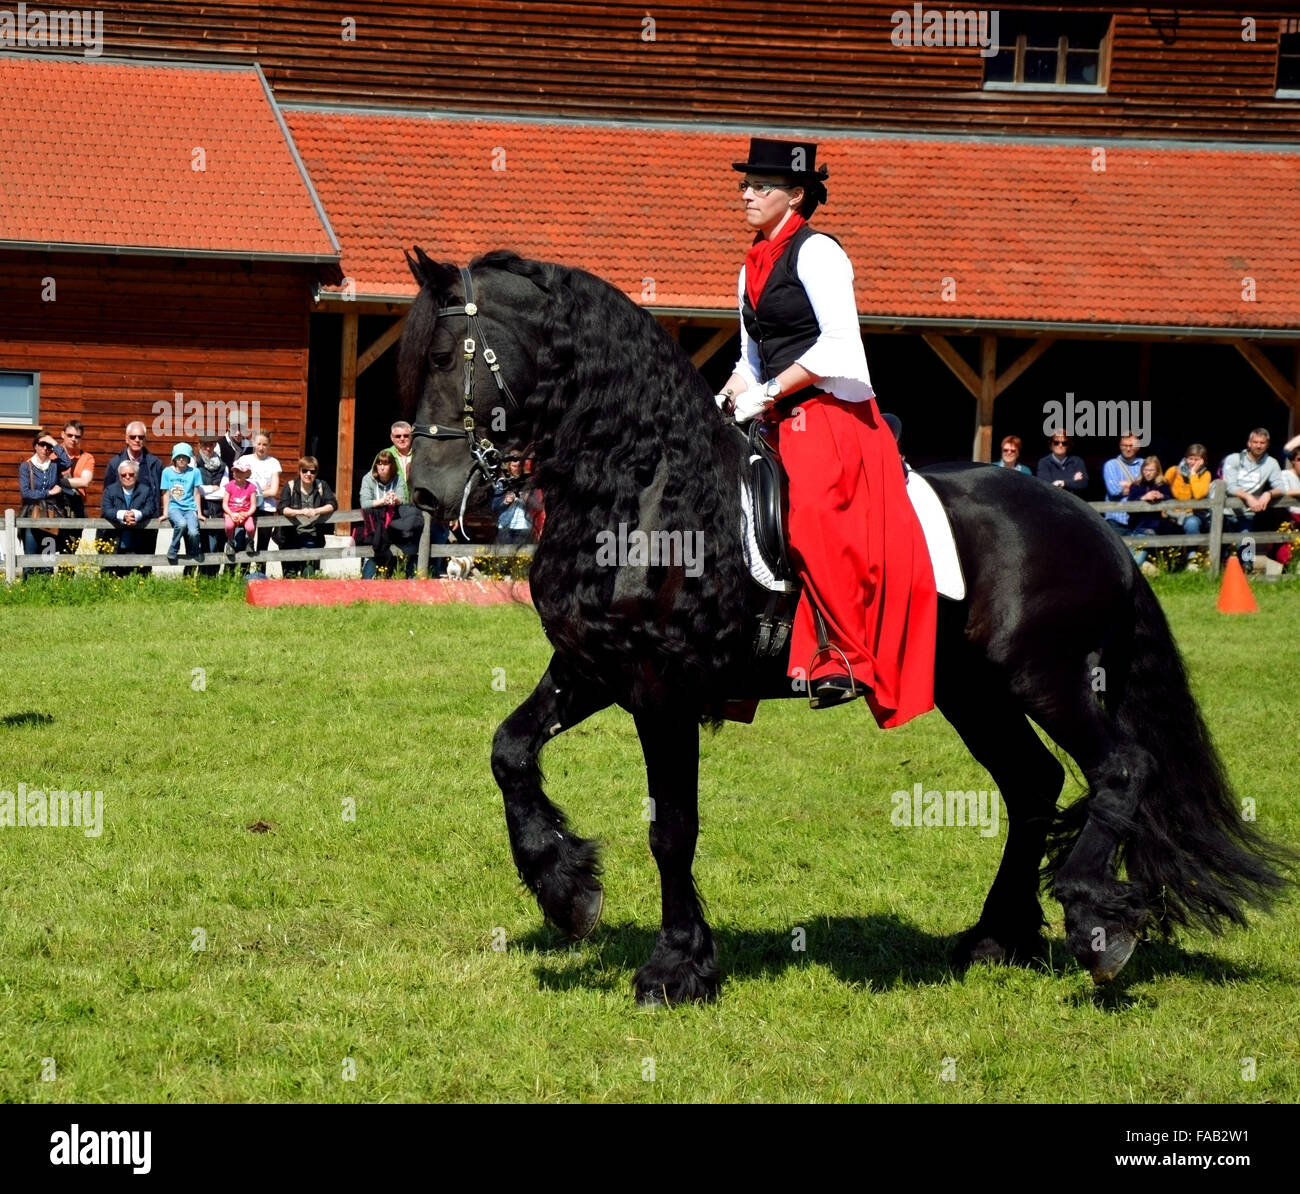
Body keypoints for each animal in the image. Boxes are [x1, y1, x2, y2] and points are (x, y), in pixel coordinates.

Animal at [399, 246, 1291, 1006]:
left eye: (443, 359)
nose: (429, 494)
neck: (644, 485)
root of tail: (1093, 523)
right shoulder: (592, 669)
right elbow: (510, 751)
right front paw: (566, 890)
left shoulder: (662, 691)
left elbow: (672, 828)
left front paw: (676, 968)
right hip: (975, 689)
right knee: (1033, 783)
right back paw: (995, 938)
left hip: (1049, 677)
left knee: (1120, 768)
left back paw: (1094, 925)